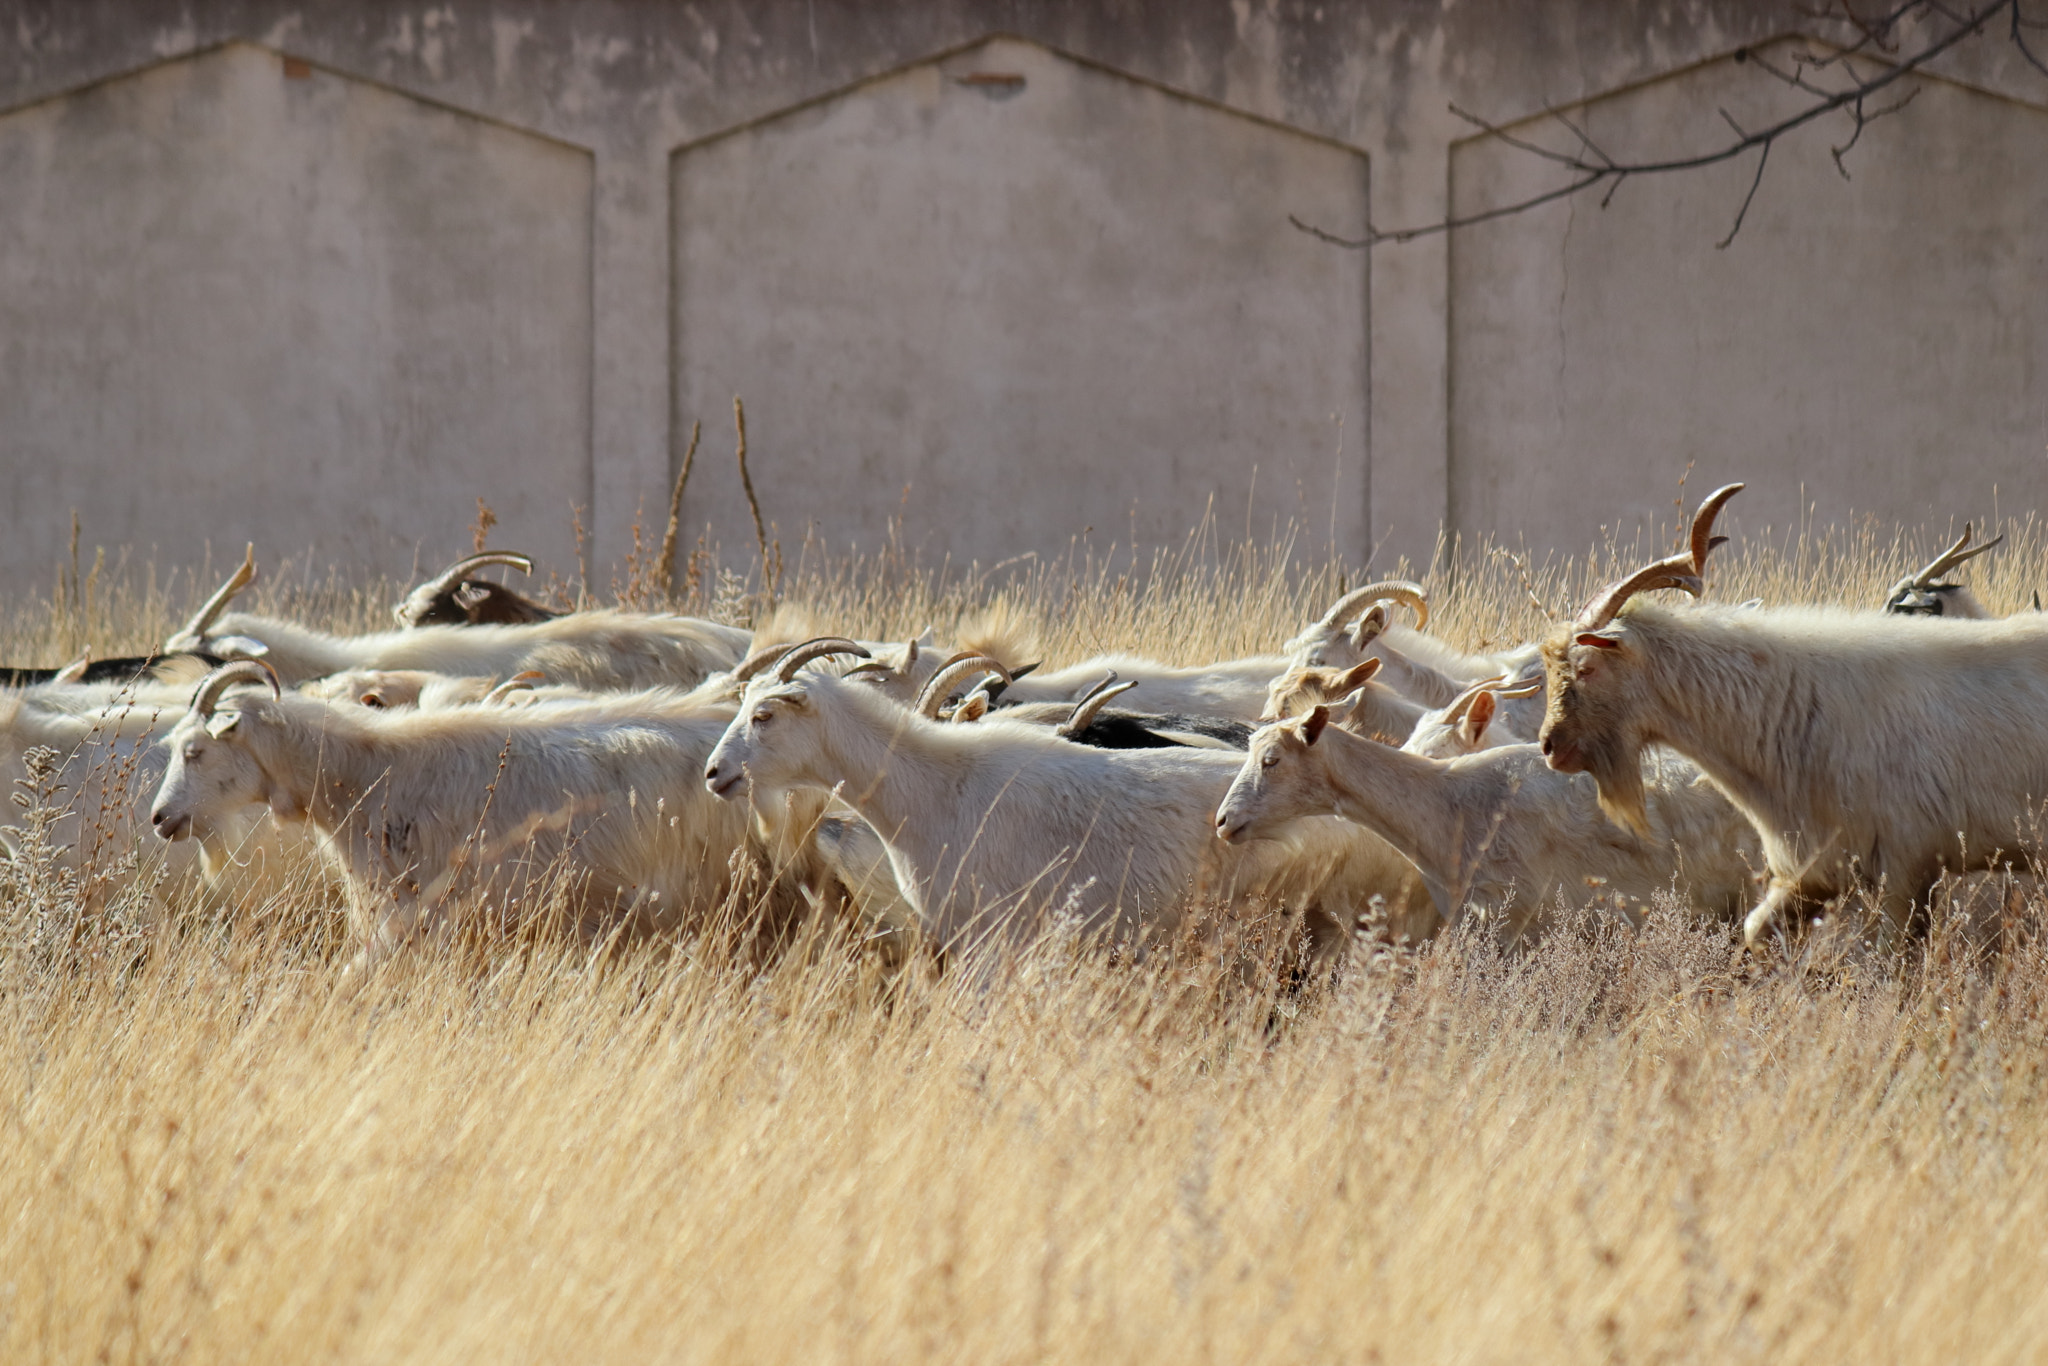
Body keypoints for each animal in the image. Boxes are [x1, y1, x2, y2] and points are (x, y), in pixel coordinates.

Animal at [1540, 485, 2048, 946]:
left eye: (1585, 667)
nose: (1550, 744)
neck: (1792, 703)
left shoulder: (1907, 867)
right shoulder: (1815, 871)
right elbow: (1754, 930)